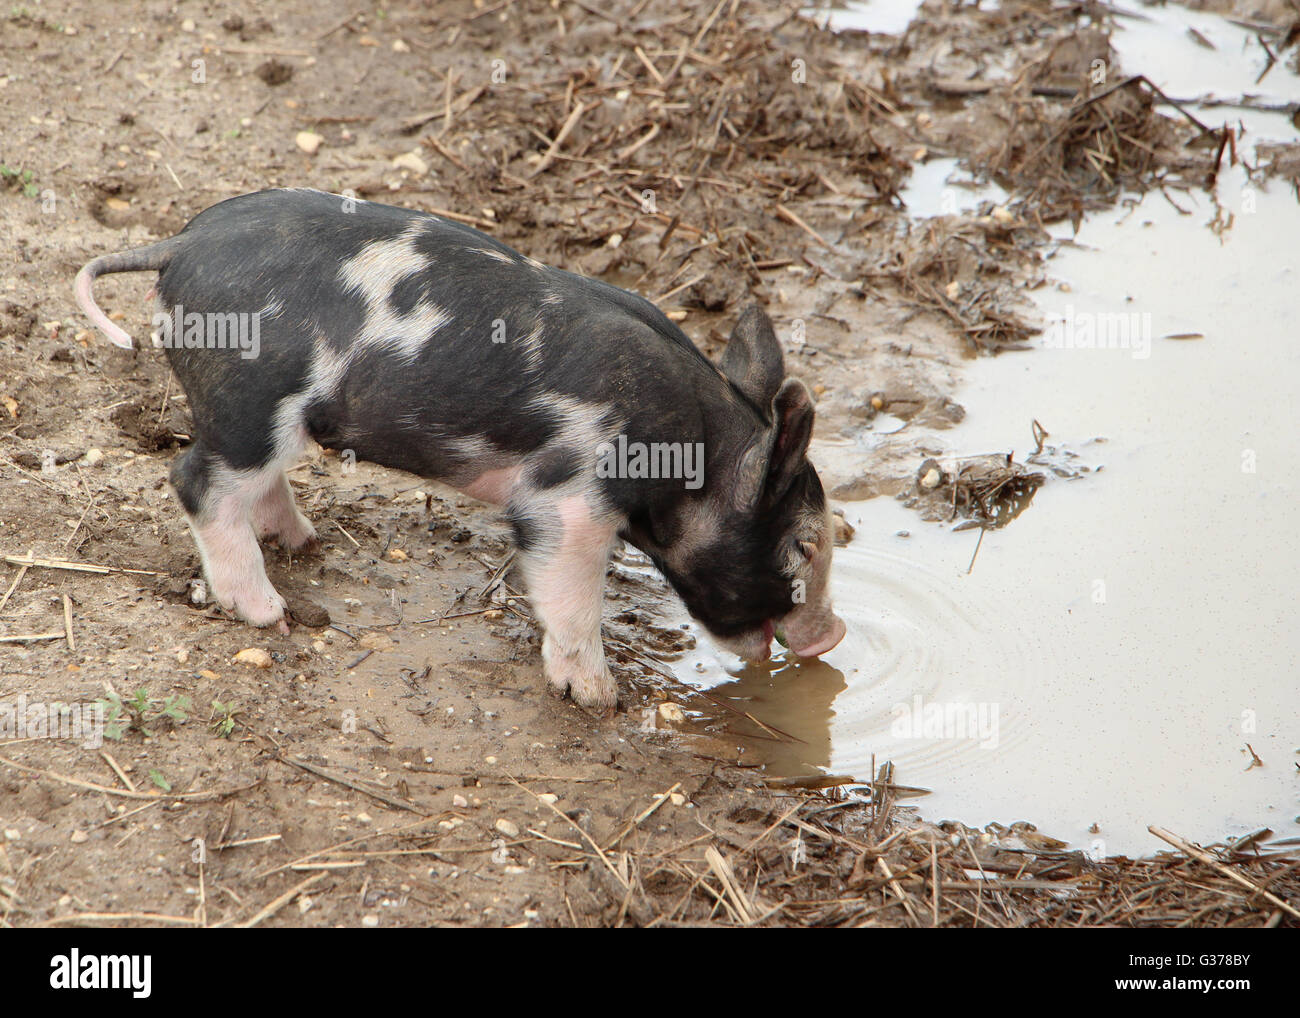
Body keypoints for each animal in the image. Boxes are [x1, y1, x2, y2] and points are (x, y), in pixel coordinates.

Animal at [75, 188, 846, 713]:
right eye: (804, 545)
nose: (833, 634)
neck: (694, 452)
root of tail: (179, 247)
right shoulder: (569, 498)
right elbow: (572, 595)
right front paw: (599, 697)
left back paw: (303, 540)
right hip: (249, 404)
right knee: (196, 480)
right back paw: (266, 611)